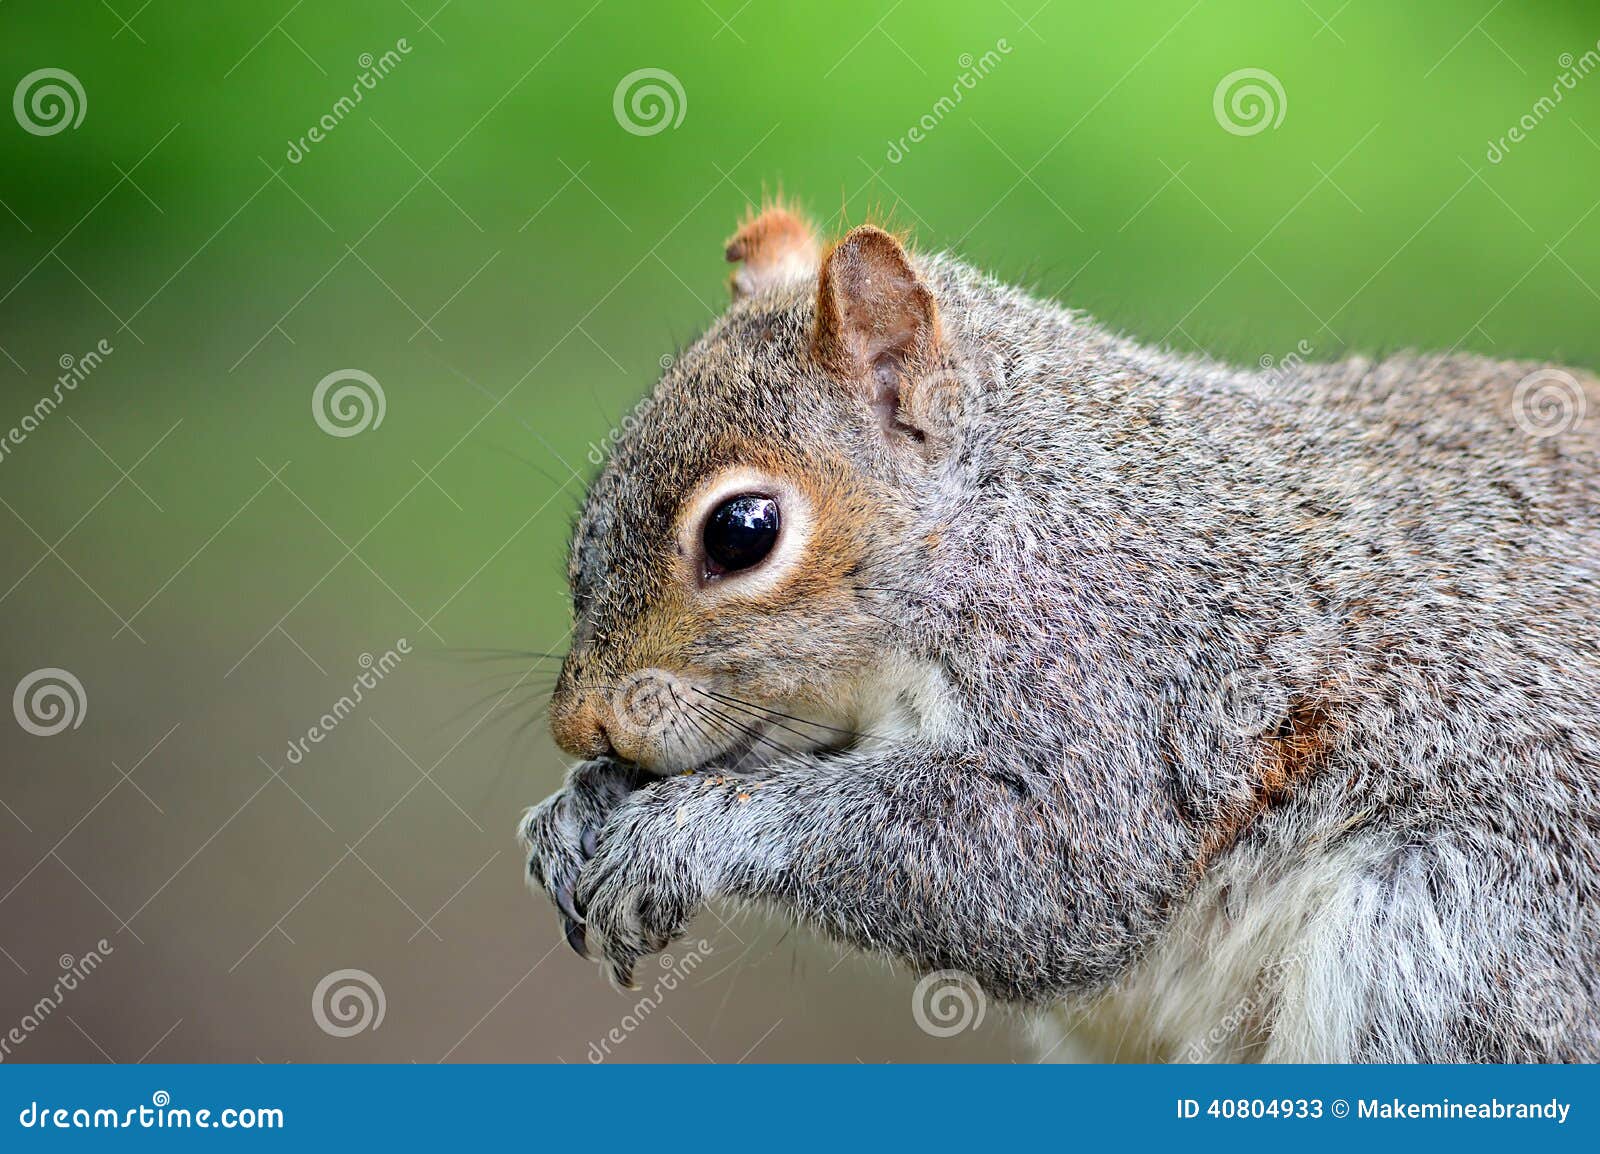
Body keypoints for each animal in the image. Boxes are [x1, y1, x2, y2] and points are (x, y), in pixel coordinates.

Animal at [519, 199, 1600, 1063]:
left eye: (742, 531)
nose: (582, 724)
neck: (1000, 500)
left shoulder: (1110, 661)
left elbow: (1055, 865)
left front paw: (681, 833)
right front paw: (578, 808)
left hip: (1450, 946)